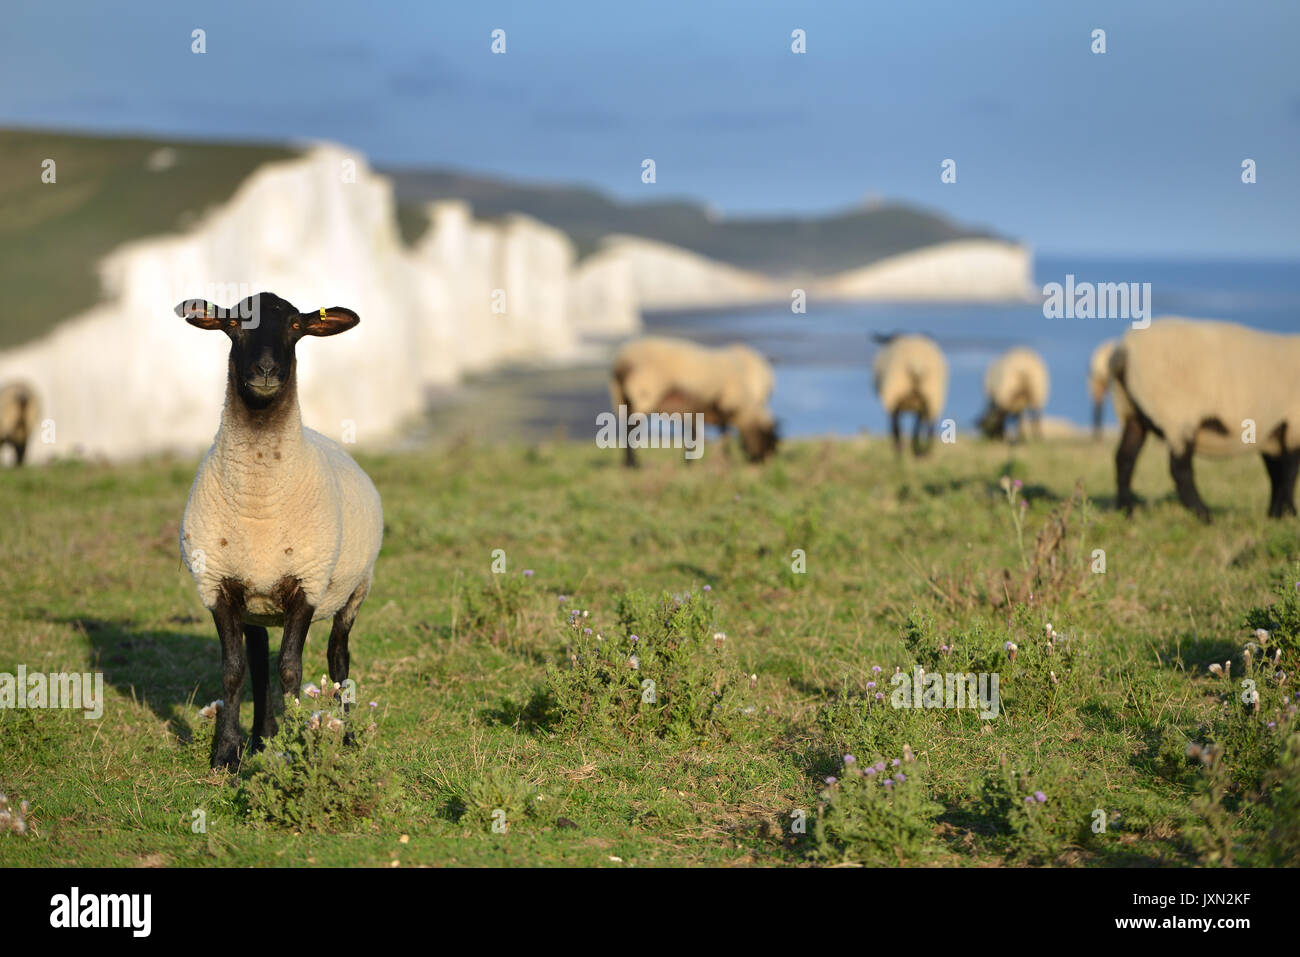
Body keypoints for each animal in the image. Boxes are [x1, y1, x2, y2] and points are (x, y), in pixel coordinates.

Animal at [175, 293, 383, 770]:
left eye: (295, 326)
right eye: (235, 325)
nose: (267, 370)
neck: (259, 504)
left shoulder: (306, 584)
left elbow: (291, 668)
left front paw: (295, 749)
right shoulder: (218, 586)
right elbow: (234, 672)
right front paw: (226, 754)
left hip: (355, 589)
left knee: (338, 657)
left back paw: (344, 732)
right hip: (256, 603)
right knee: (257, 663)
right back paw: (260, 737)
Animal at [609, 336, 778, 466]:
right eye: (769, 437)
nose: (762, 461)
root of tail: (622, 360)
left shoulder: (694, 409)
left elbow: (700, 433)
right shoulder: (715, 405)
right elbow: (719, 433)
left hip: (621, 397)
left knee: (625, 427)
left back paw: (629, 462)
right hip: (644, 394)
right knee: (631, 428)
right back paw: (632, 464)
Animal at [1109, 317, 1300, 522]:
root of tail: (1125, 348)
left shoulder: (1273, 435)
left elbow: (1277, 474)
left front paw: (1276, 514)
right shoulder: (1293, 425)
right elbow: (1289, 472)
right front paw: (1289, 514)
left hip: (1130, 411)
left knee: (1124, 458)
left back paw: (1126, 511)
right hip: (1177, 414)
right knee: (1179, 469)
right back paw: (1204, 514)